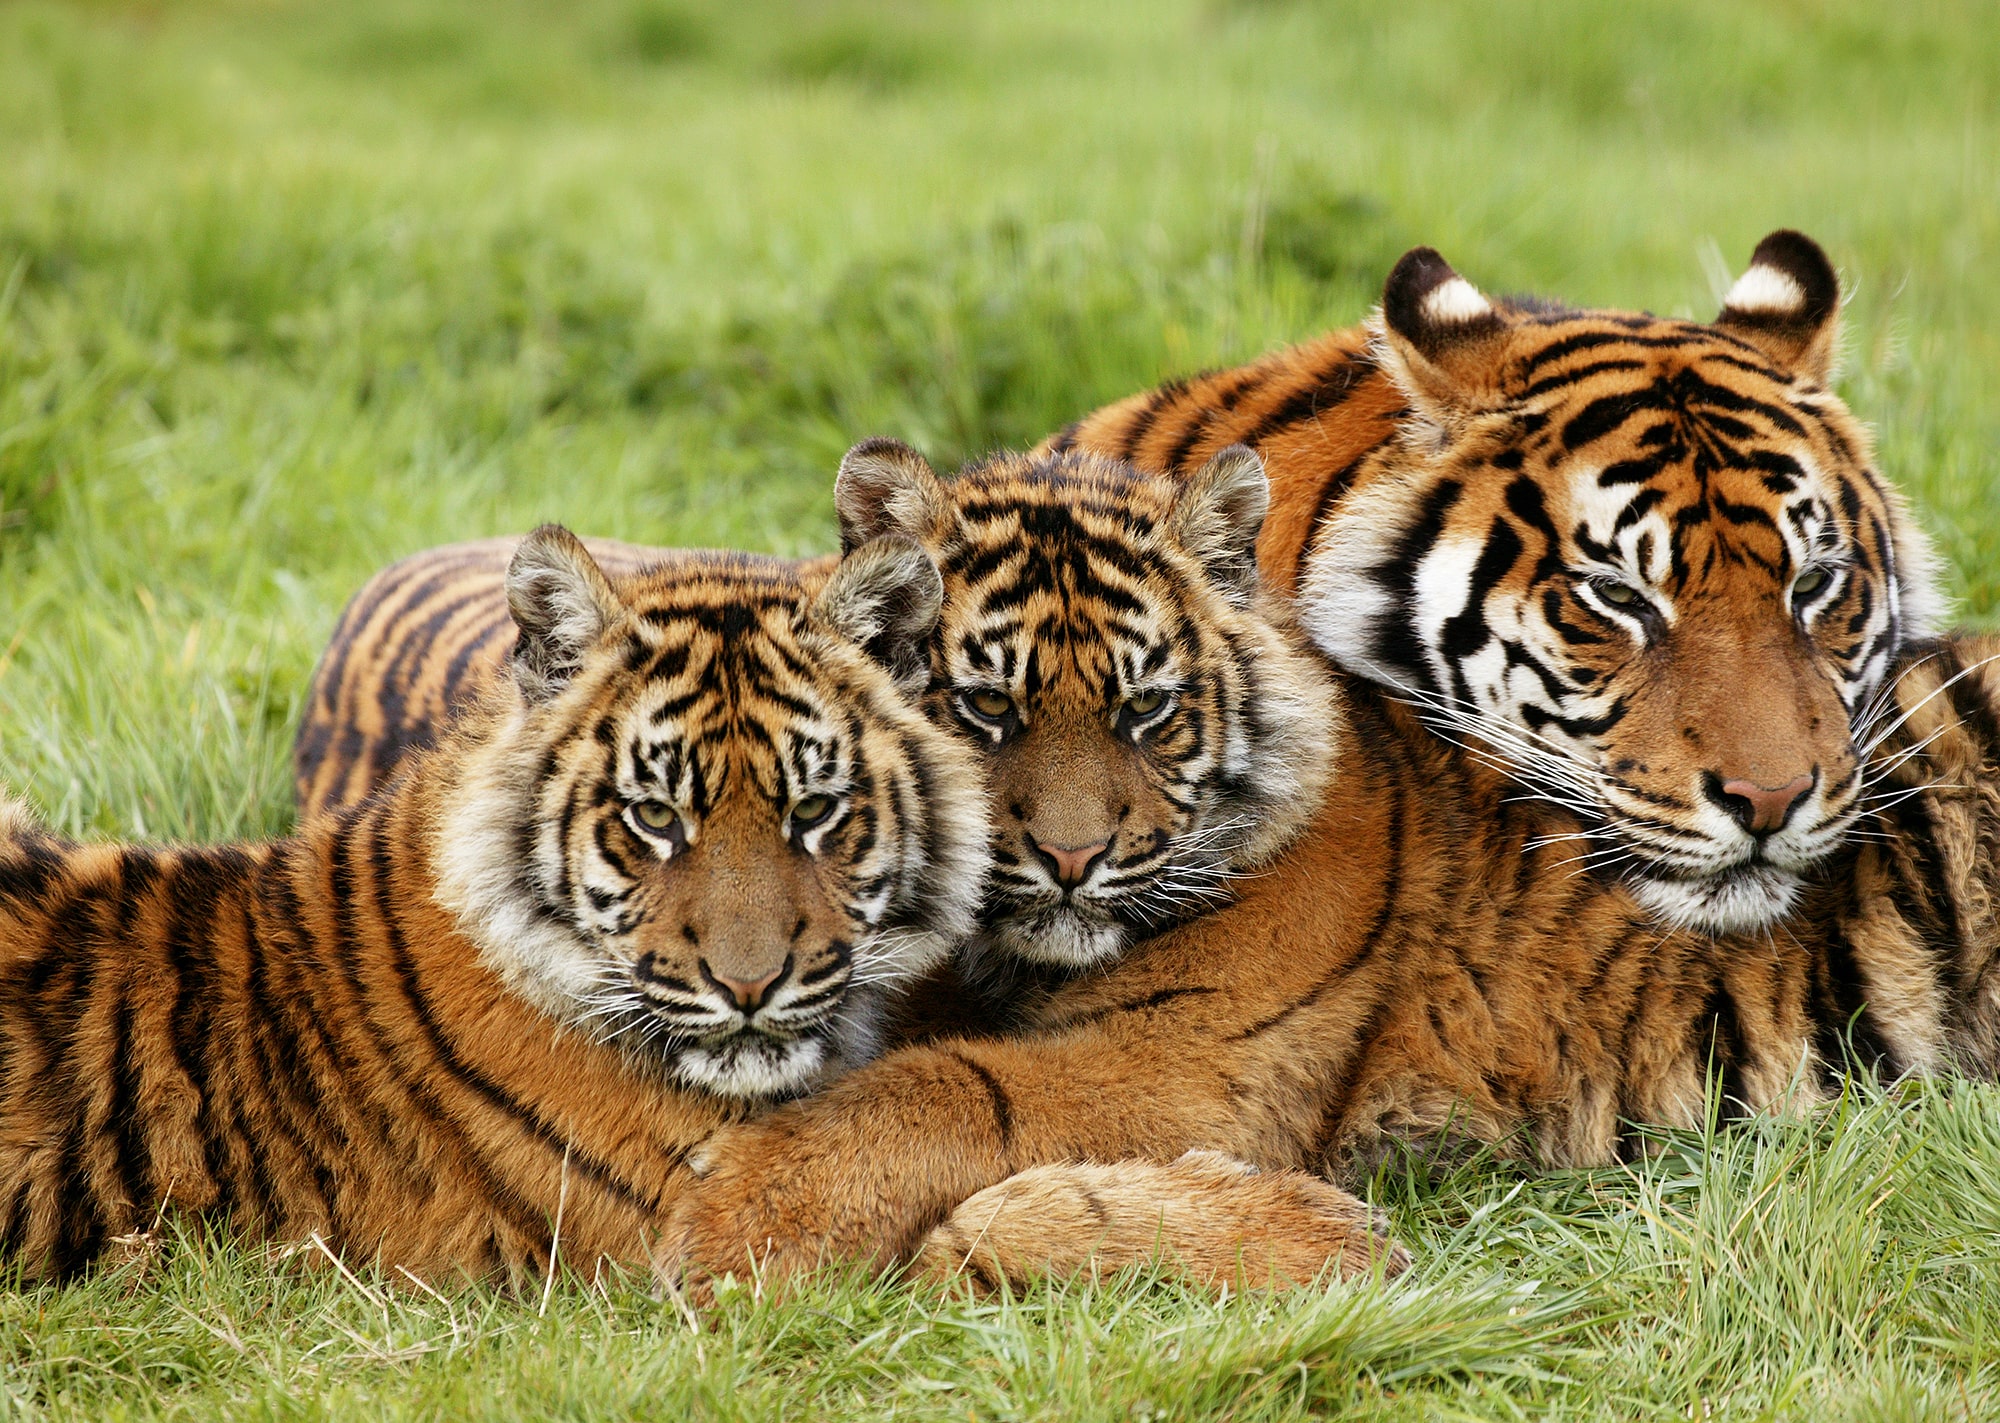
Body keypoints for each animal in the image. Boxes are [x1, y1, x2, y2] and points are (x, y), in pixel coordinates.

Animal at [0, 522, 1396, 1288]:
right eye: (654, 816)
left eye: (815, 812)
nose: (748, 985)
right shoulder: (700, 1263)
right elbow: (983, 1210)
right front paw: (1329, 1236)